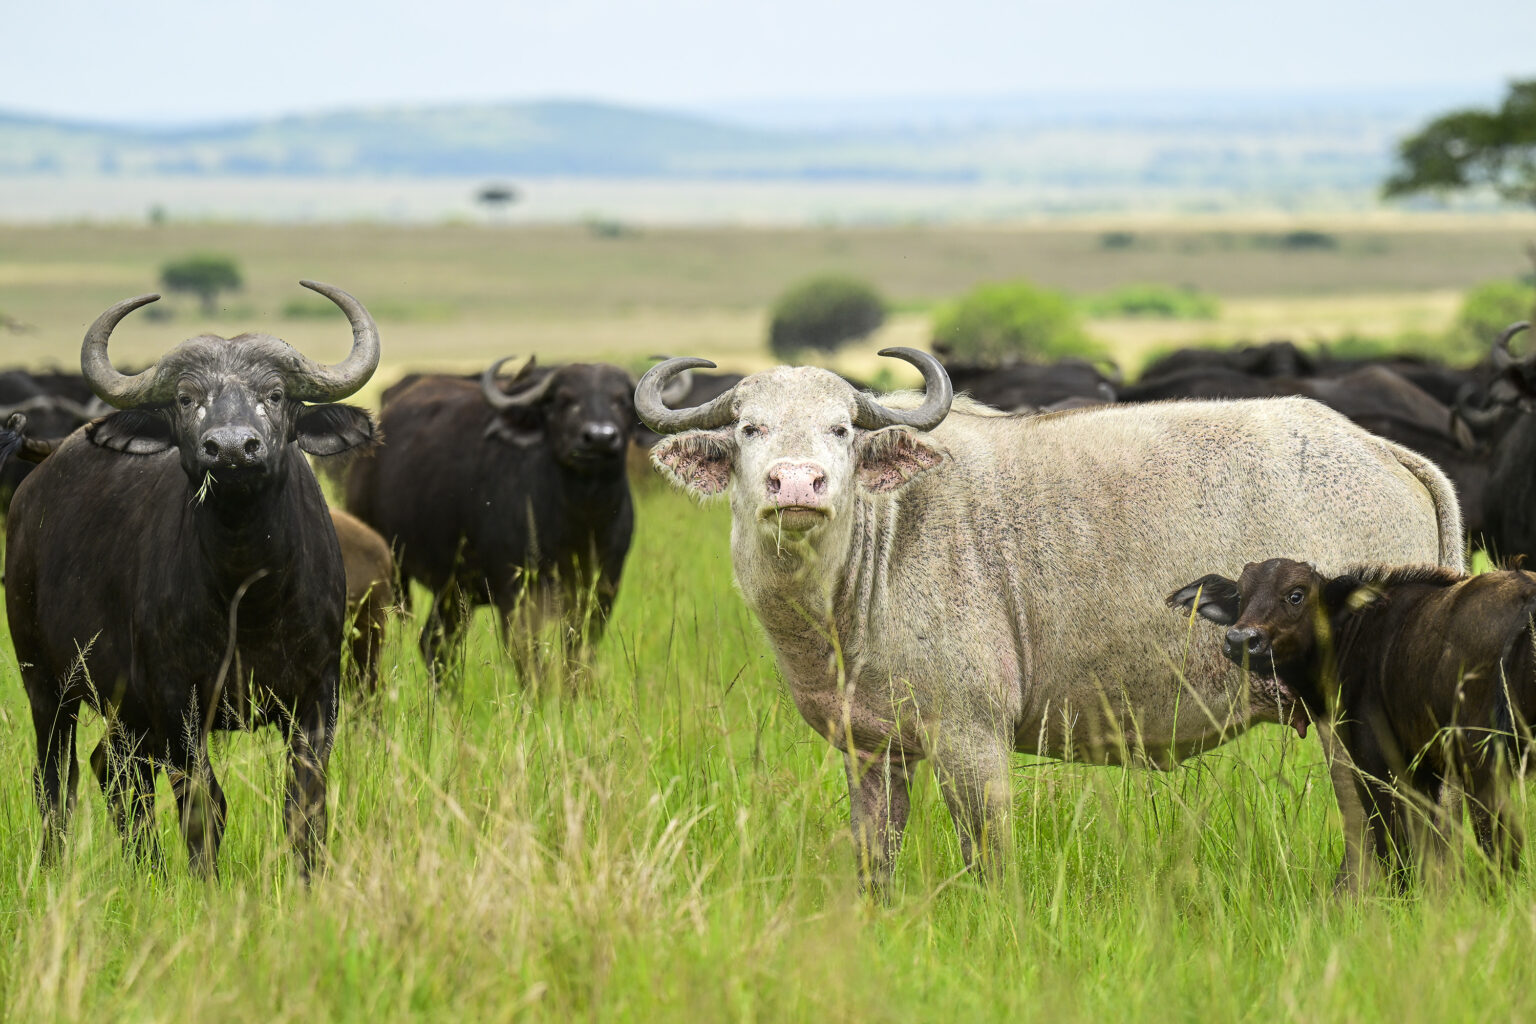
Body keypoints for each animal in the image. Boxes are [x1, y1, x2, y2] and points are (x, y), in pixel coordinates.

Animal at [4, 282, 379, 878]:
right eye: (185, 398)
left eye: (276, 394)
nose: (230, 448)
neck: (248, 590)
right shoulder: (177, 697)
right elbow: (206, 803)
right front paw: (206, 880)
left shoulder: (319, 694)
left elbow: (305, 799)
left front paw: (308, 878)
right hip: (45, 683)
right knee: (56, 778)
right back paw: (57, 867)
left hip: (123, 706)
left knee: (114, 767)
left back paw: (146, 867)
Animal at [637, 348, 1462, 893]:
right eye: (749, 429)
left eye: (842, 429)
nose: (798, 485)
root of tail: (1377, 447)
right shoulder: (872, 750)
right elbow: (876, 856)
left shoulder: (971, 740)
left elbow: (988, 858)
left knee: (1373, 822)